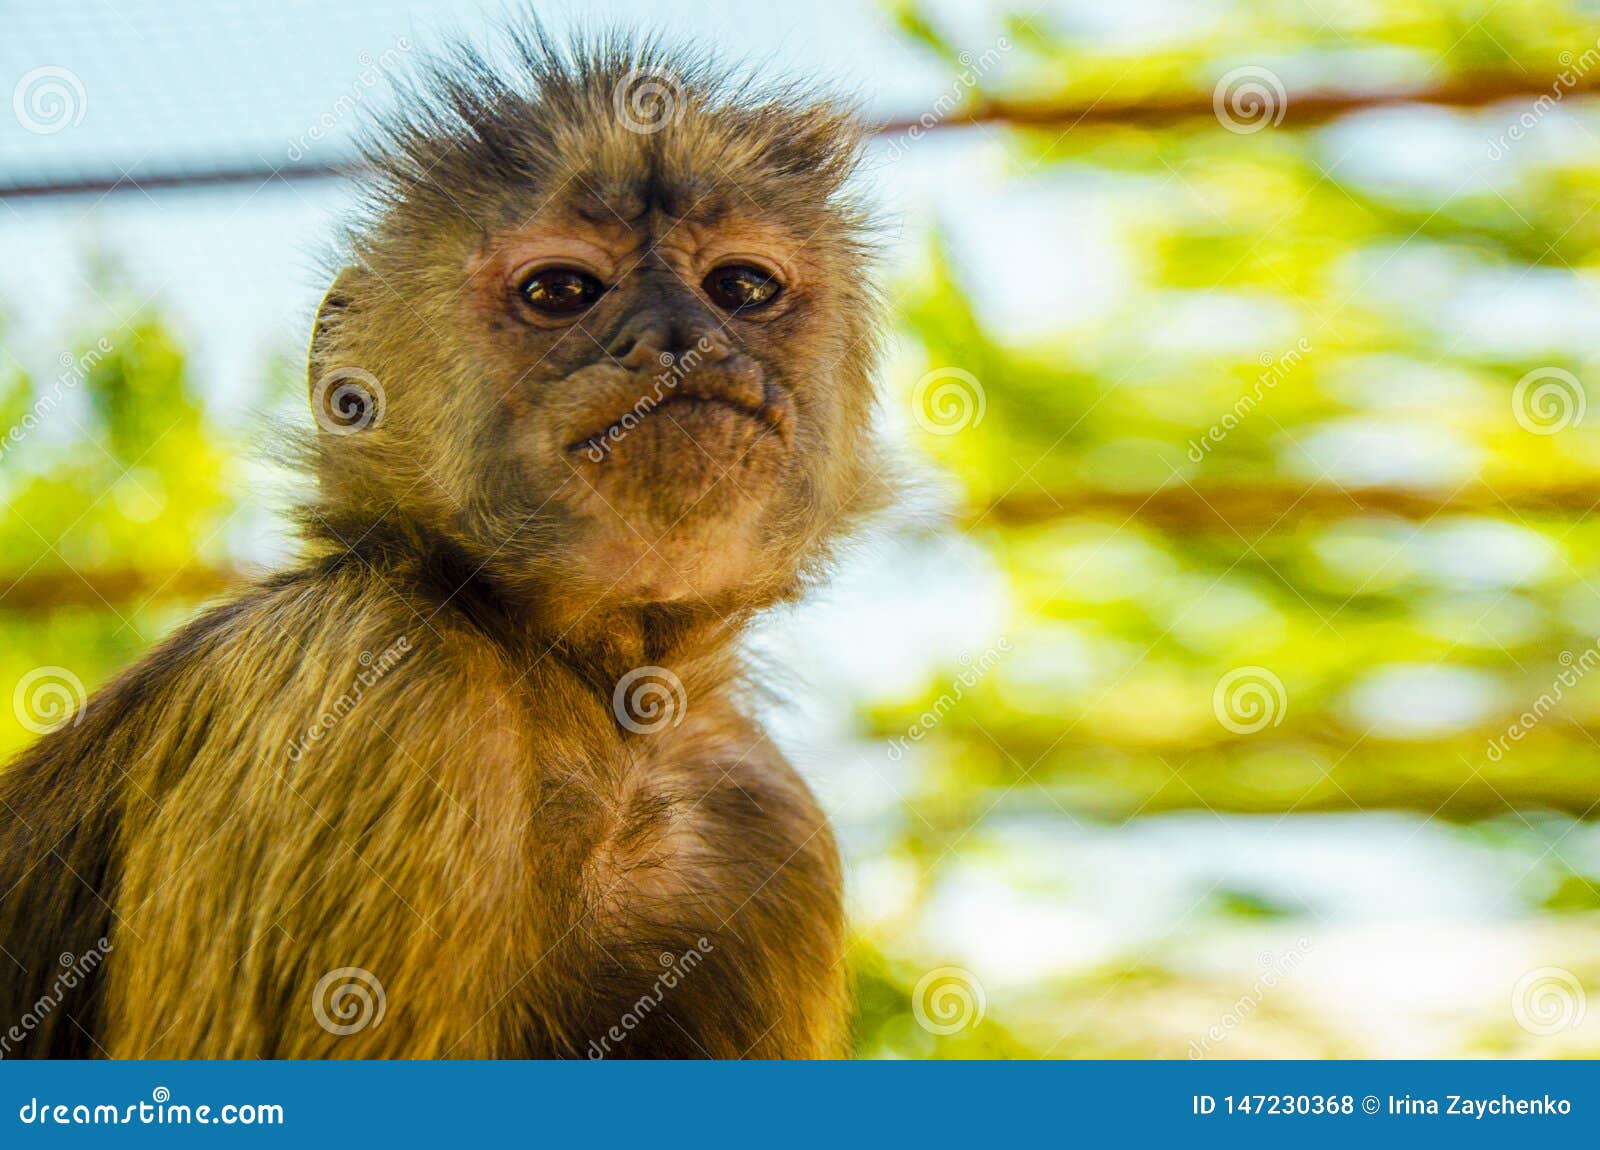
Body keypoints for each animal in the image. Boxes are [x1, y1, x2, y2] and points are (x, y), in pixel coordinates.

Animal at [0, 27, 894, 1058]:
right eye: (561, 290)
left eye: (741, 287)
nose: (678, 335)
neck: (591, 698)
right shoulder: (357, 680)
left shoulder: (770, 826)